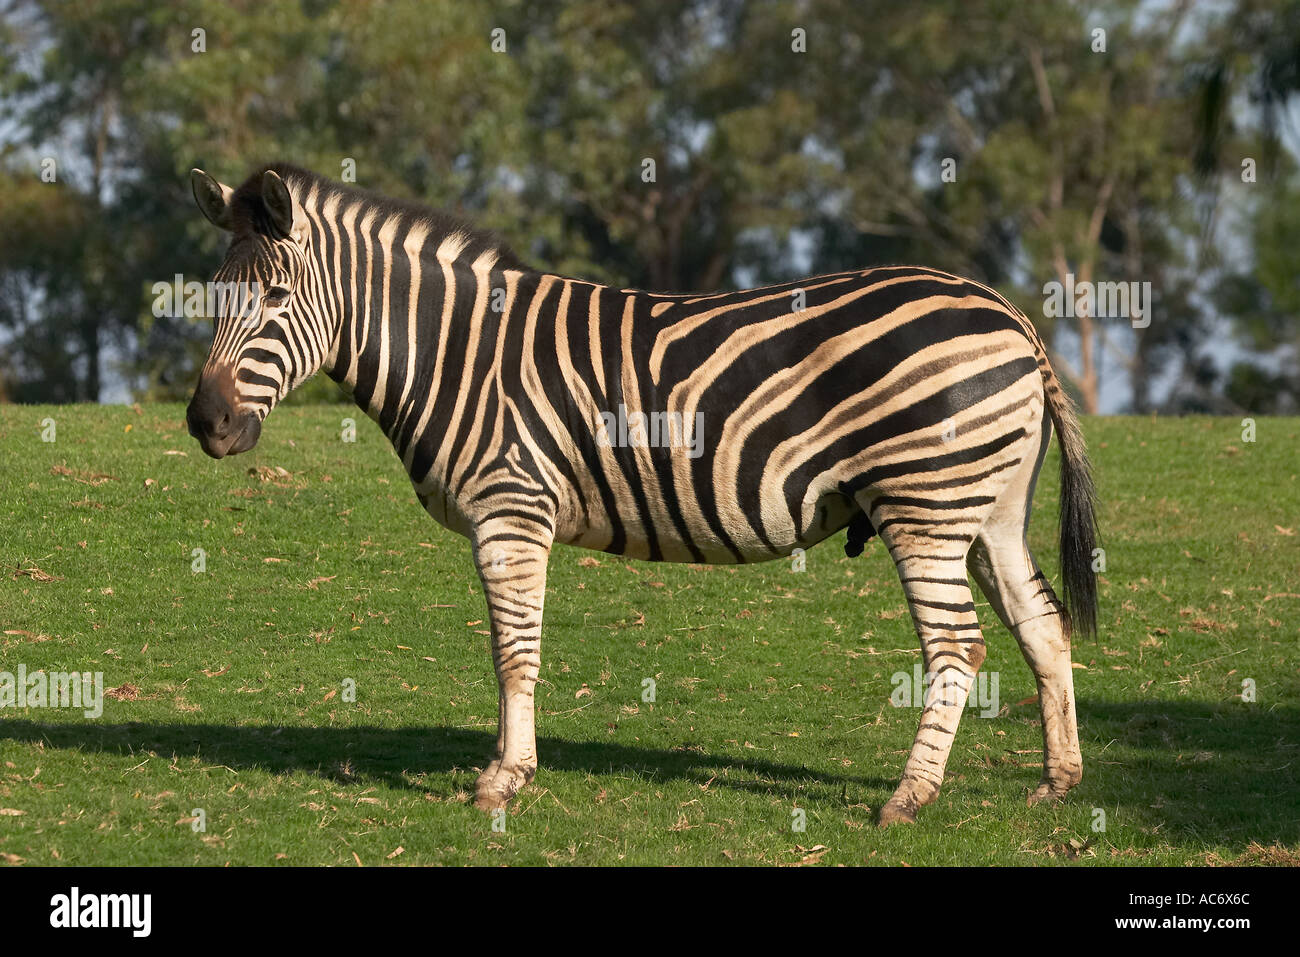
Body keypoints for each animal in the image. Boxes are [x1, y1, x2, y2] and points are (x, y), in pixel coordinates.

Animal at [186, 163, 1097, 825]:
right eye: (214, 296)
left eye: (274, 298)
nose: (204, 421)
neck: (455, 351)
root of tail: (1012, 315)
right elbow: (507, 648)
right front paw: (505, 765)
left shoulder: (511, 509)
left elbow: (513, 649)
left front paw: (503, 779)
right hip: (989, 512)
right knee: (1043, 626)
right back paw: (1058, 783)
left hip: (925, 507)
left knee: (957, 647)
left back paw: (908, 798)